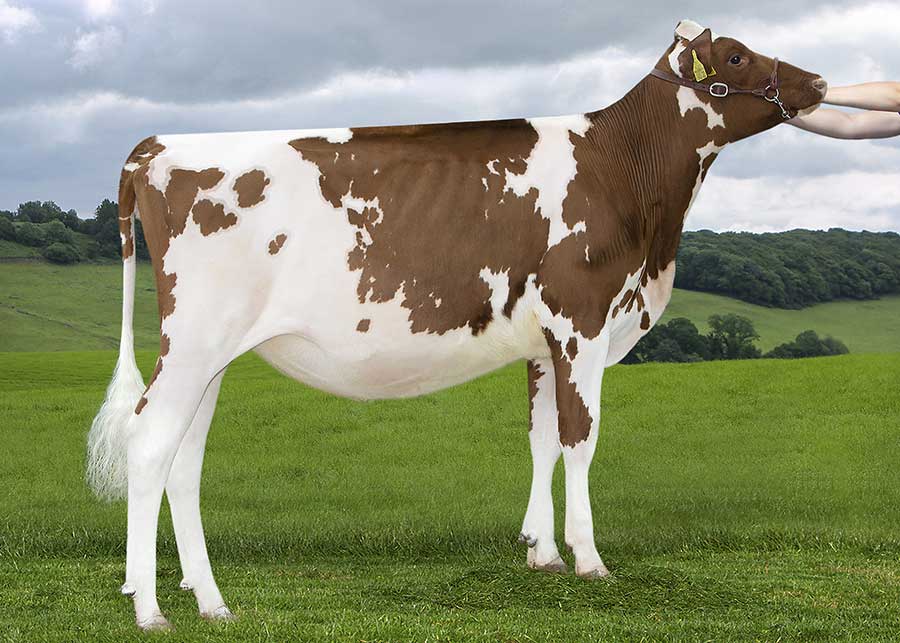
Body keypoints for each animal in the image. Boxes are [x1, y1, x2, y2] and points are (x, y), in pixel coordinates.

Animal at [86, 20, 826, 629]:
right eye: (736, 54)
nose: (818, 82)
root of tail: (155, 147)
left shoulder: (542, 343)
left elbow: (541, 439)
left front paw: (542, 552)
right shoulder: (581, 321)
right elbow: (580, 439)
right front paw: (589, 558)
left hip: (209, 355)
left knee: (183, 459)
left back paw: (209, 599)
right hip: (194, 343)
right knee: (149, 444)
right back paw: (151, 608)